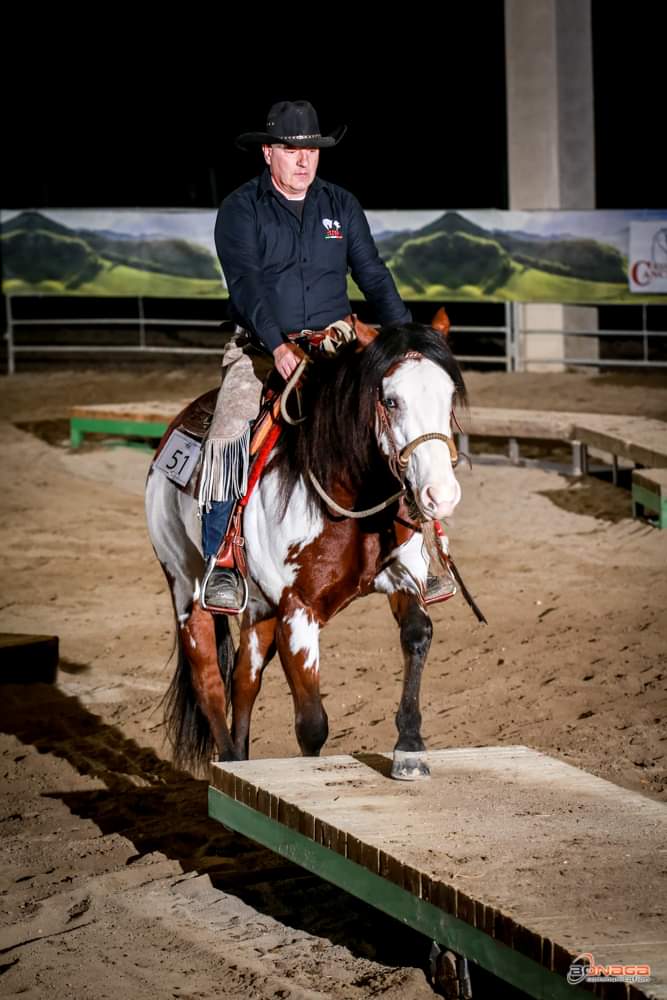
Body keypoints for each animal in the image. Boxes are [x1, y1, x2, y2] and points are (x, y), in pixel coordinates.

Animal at [145, 321, 467, 780]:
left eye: (449, 395)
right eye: (391, 400)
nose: (440, 495)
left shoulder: (404, 579)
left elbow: (417, 634)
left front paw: (410, 748)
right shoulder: (298, 611)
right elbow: (312, 724)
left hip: (259, 606)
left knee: (244, 679)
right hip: (185, 587)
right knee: (209, 682)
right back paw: (228, 760)